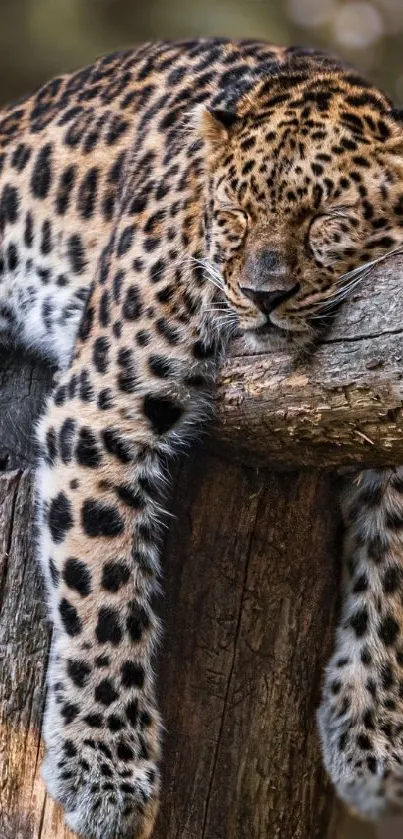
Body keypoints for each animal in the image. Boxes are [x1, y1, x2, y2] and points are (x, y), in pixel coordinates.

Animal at [2, 35, 403, 838]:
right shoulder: (101, 409)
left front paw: (370, 736)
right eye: (235, 213)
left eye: (328, 216)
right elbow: (101, 586)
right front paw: (101, 771)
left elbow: (389, 585)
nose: (263, 295)